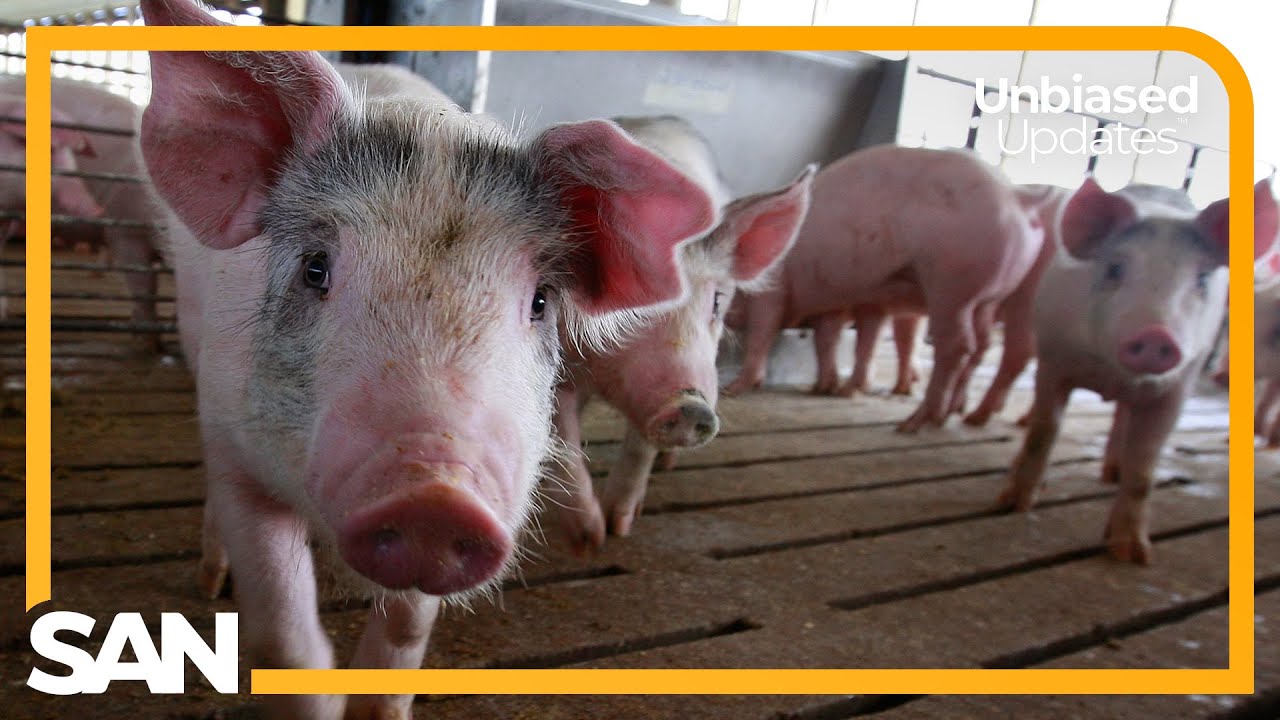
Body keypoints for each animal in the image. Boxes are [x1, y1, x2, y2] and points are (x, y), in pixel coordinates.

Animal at [138, 1, 716, 718]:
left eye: (541, 301)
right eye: (315, 268)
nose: (434, 496)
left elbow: (407, 631)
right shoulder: (236, 444)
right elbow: (283, 640)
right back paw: (209, 582)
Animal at [548, 115, 813, 551]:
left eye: (717, 302)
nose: (691, 406)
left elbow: (639, 449)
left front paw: (619, 527)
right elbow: (563, 444)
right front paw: (589, 539)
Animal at [726, 145, 1045, 433]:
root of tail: (1016, 196)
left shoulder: (773, 292)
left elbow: (761, 335)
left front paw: (736, 388)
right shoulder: (839, 301)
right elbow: (830, 339)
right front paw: (825, 387)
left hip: (954, 286)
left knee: (960, 345)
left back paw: (914, 423)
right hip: (987, 298)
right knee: (981, 344)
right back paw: (953, 416)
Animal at [996, 178, 1278, 564]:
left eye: (1203, 278)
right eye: (1115, 268)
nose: (1156, 335)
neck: (1112, 374)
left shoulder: (1176, 389)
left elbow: (1144, 467)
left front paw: (1133, 554)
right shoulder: (1054, 360)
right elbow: (1043, 432)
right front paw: (1012, 506)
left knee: (1123, 420)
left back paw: (1113, 474)